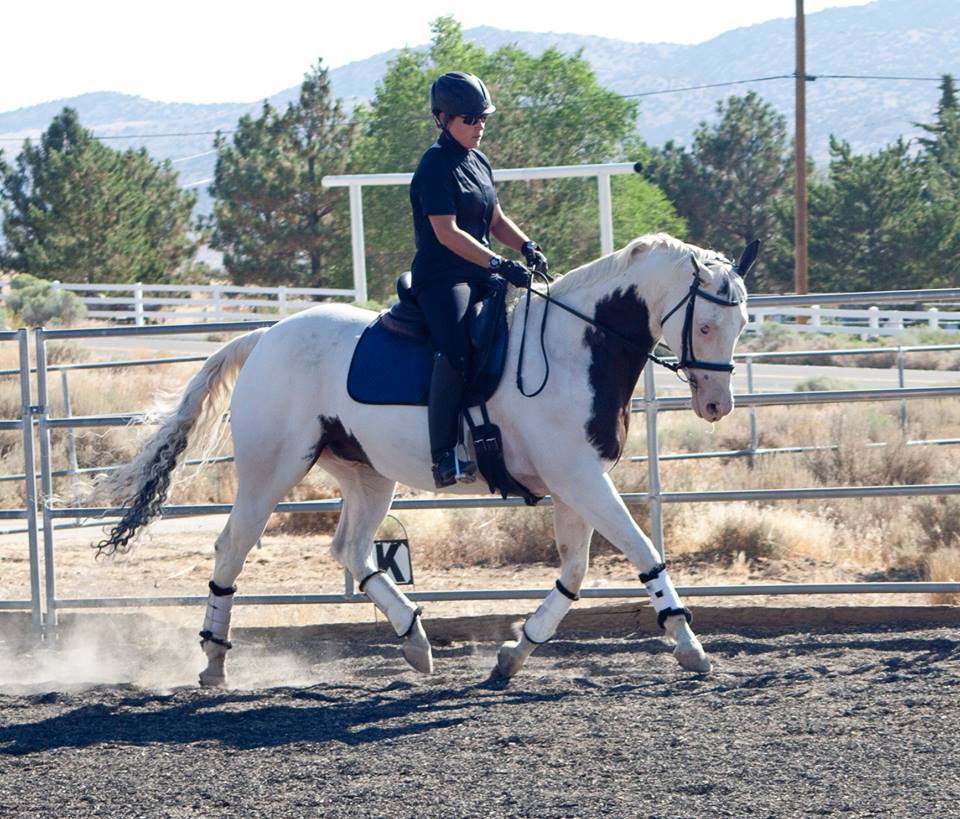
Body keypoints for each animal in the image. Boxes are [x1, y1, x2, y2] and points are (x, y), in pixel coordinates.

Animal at [96, 232, 755, 687]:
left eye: (744, 322)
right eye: (709, 323)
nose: (716, 405)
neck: (578, 346)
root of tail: (265, 336)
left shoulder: (575, 483)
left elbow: (573, 573)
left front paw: (514, 654)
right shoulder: (579, 477)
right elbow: (643, 552)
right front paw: (689, 646)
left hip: (366, 474)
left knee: (351, 550)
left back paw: (414, 640)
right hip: (270, 471)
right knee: (232, 546)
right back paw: (213, 660)